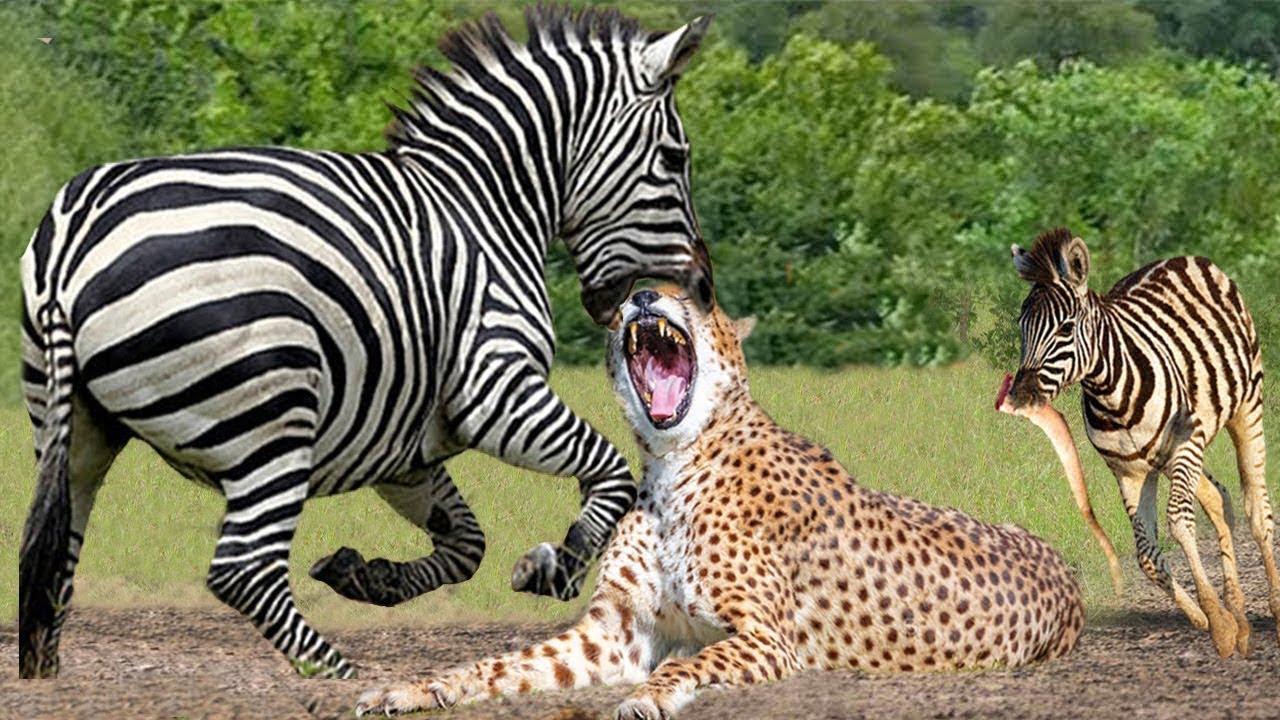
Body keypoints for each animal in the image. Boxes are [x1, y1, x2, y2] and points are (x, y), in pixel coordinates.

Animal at [18, 7, 715, 680]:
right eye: (674, 158)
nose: (704, 290)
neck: (486, 208)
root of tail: (74, 241)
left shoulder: (404, 444)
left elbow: (464, 542)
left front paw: (369, 577)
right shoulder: (495, 393)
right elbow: (611, 472)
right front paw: (557, 564)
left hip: (76, 432)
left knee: (52, 559)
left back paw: (43, 674)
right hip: (271, 419)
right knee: (242, 569)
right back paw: (339, 675)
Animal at [355, 284, 1084, 718]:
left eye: (698, 300)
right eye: (636, 292)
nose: (643, 295)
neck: (673, 459)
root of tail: (1063, 564)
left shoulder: (766, 640)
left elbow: (699, 659)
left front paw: (648, 696)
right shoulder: (612, 635)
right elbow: (503, 663)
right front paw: (422, 686)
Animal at [1003, 227, 1280, 657]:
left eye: (1066, 328)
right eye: (1022, 326)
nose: (1020, 396)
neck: (1112, 394)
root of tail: (1185, 258)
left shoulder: (1185, 444)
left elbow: (1179, 524)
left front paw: (1218, 625)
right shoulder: (1129, 471)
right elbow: (1147, 555)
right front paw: (1209, 617)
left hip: (1243, 410)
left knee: (1257, 509)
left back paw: (1274, 611)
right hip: (1169, 458)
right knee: (1218, 499)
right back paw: (1239, 614)